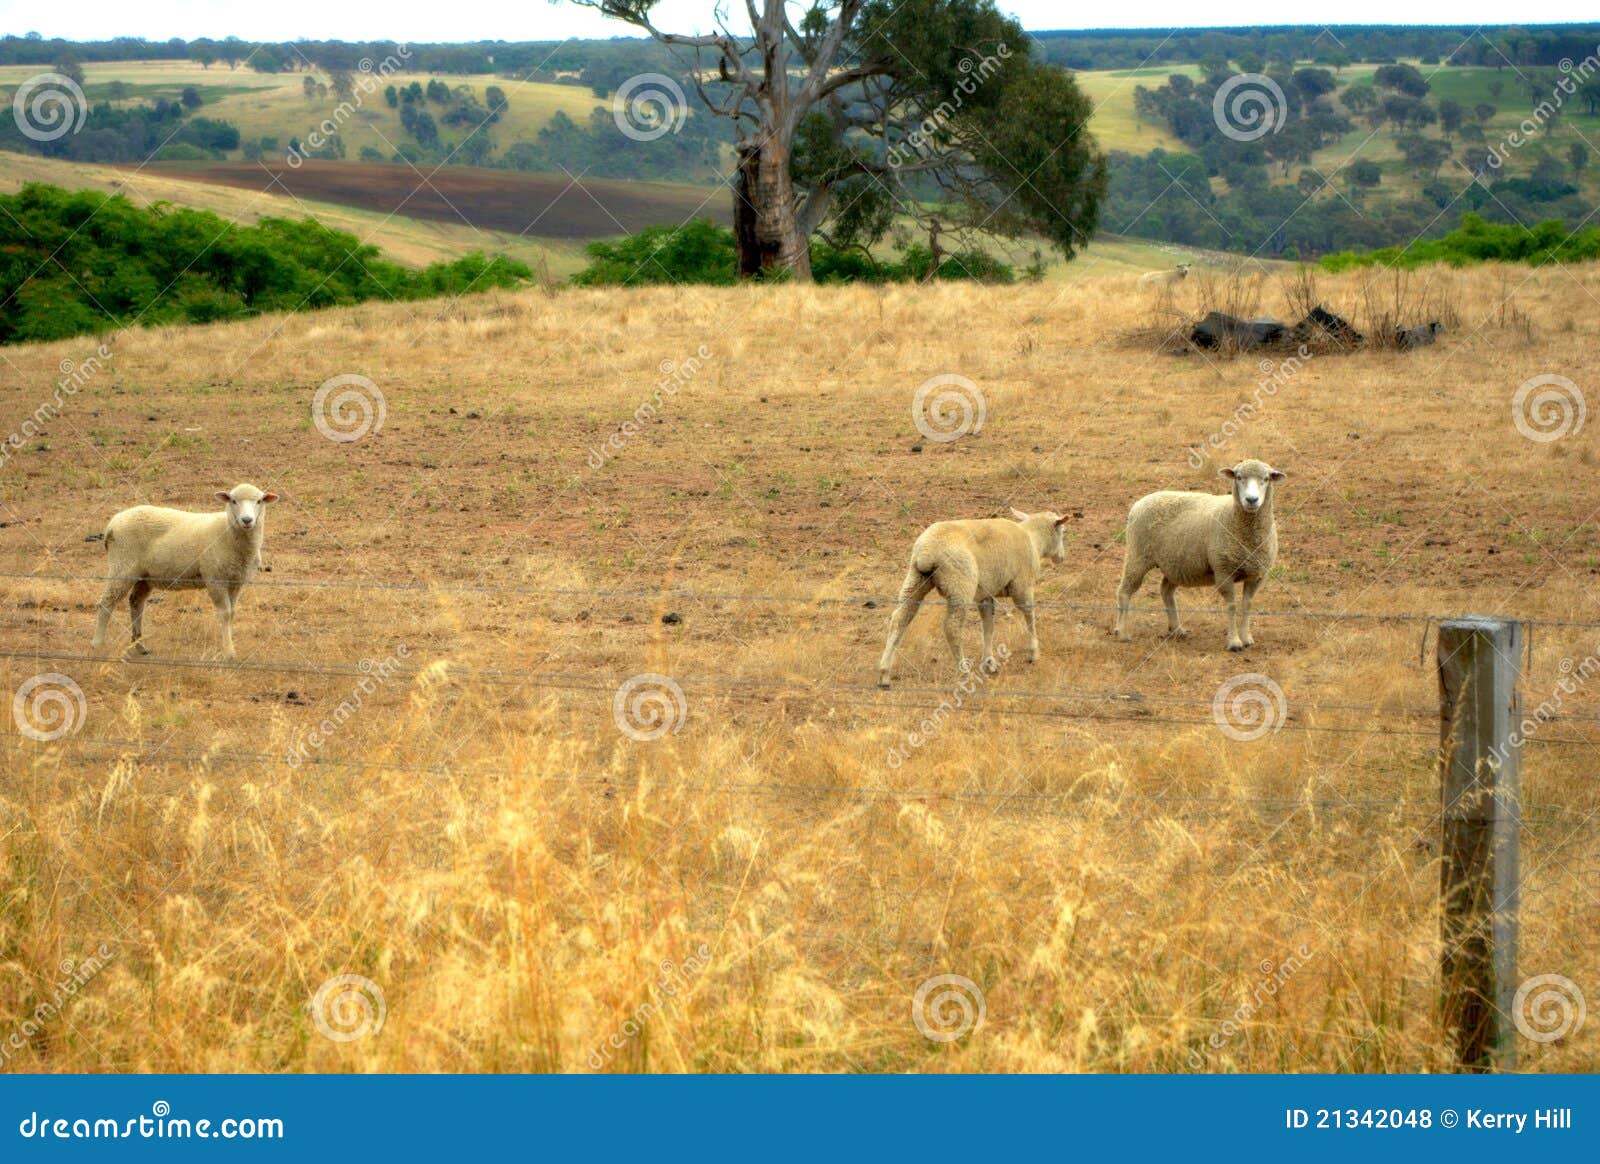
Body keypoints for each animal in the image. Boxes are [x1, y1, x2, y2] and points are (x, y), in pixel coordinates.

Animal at [92, 484, 278, 658]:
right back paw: (98, 643)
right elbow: (225, 614)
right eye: (233, 501)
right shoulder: (215, 579)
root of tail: (112, 524)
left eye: (259, 501)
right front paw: (228, 652)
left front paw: (230, 647)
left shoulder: (236, 581)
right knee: (107, 602)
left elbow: (232, 613)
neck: (227, 532)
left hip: (144, 575)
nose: (247, 520)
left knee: (136, 602)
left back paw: (139, 645)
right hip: (122, 564)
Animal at [878, 508, 1068, 687]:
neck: (1034, 540)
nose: (1061, 558)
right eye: (1062, 532)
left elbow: (988, 627)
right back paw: (964, 672)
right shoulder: (1023, 586)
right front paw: (1034, 653)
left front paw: (989, 662)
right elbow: (1030, 617)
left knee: (899, 619)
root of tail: (927, 553)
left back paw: (884, 673)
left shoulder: (986, 594)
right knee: (952, 628)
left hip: (915, 579)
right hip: (960, 585)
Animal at [1114, 460, 1284, 652]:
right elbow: (1232, 606)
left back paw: (1177, 629)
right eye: (1239, 477)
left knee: (1166, 591)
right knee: (1124, 591)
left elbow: (1247, 605)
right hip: (1137, 555)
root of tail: (1140, 502)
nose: (1251, 500)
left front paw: (1247, 638)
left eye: (1266, 478)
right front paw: (1234, 642)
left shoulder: (1257, 574)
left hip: (1175, 563)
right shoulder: (1223, 571)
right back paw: (1122, 632)